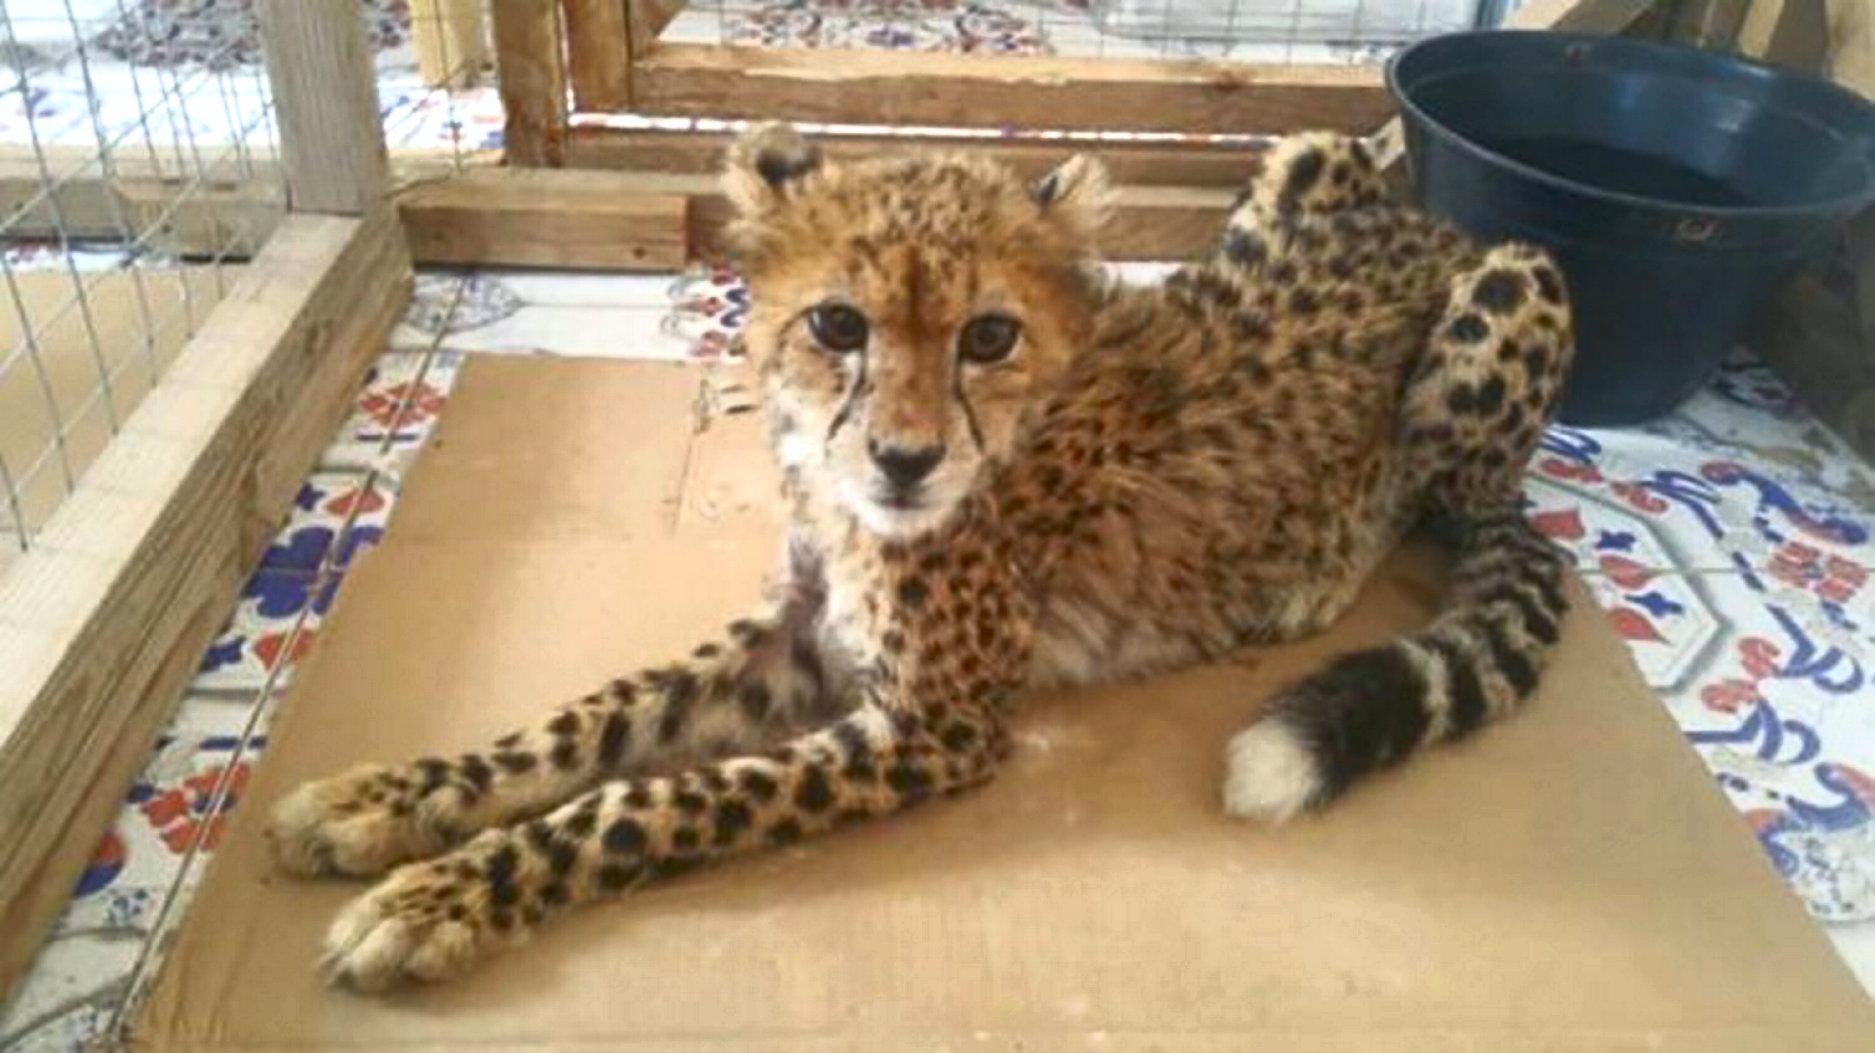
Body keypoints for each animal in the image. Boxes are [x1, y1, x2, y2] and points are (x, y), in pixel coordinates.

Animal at [266, 122, 1575, 992]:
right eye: (837, 323)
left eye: (988, 334)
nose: (903, 461)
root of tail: (1433, 222)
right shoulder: (801, 630)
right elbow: (592, 725)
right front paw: (385, 803)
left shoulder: (932, 723)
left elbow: (651, 798)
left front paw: (447, 893)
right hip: (1306, 156)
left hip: (1515, 287)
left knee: (1471, 510)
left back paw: (1317, 568)